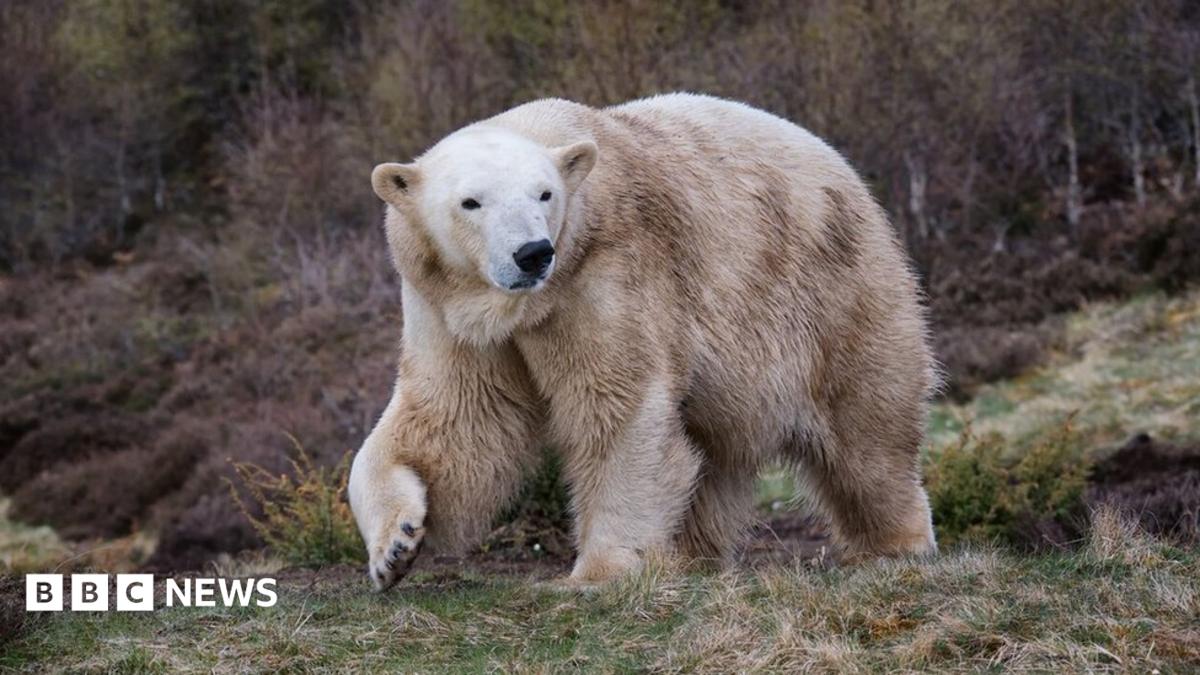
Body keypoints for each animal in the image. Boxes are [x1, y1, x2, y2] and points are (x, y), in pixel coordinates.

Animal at [348, 93, 937, 590]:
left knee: (866, 431)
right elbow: (456, 418)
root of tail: (845, 169)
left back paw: (895, 543)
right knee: (711, 451)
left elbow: (618, 403)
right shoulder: (448, 307)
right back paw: (691, 556)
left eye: (545, 193)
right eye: (471, 202)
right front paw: (394, 548)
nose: (533, 253)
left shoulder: (604, 272)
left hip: (834, 291)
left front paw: (602, 571)